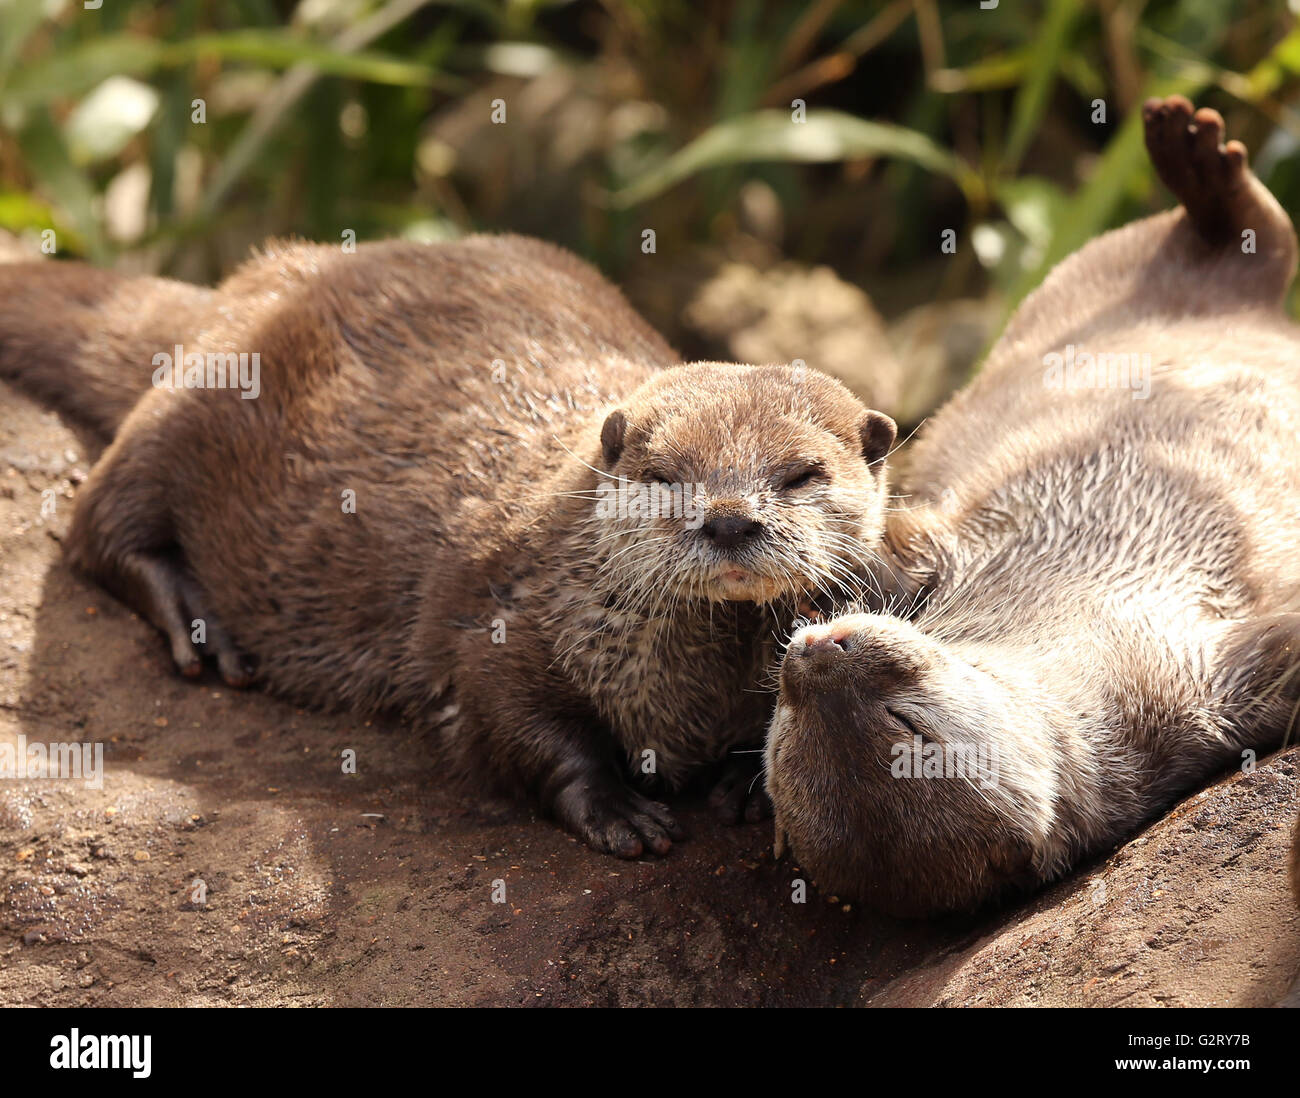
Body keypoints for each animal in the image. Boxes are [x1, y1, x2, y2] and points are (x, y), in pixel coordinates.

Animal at [0, 233, 896, 857]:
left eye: (801, 473)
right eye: (665, 475)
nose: (730, 518)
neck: (690, 687)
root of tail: (267, 275)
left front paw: (754, 781)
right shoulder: (503, 618)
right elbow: (514, 722)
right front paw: (617, 811)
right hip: (194, 398)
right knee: (98, 520)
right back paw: (199, 623)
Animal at [765, 97, 1300, 916]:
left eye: (906, 723)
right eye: (792, 730)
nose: (816, 653)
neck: (1072, 614)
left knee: (1255, 244)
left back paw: (1193, 155)